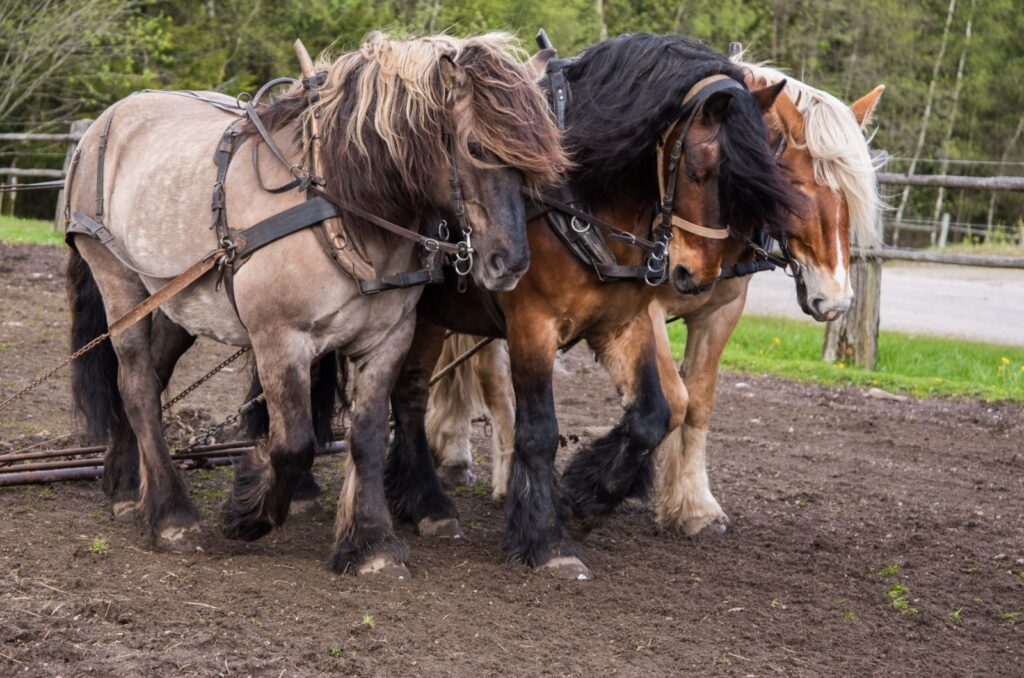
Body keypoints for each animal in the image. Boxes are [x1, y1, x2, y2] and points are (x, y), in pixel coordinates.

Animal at [65, 31, 567, 578]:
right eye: (476, 148)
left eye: (541, 160)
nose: (510, 262)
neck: (343, 206)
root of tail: (106, 121)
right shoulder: (279, 340)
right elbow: (293, 444)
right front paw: (248, 511)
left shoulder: (388, 340)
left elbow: (367, 436)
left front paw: (371, 543)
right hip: (118, 282)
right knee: (135, 384)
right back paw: (172, 516)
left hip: (180, 303)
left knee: (151, 382)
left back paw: (127, 486)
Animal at [426, 57, 884, 538]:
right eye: (790, 187)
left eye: (853, 195)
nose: (834, 299)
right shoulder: (644, 309)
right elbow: (676, 400)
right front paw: (597, 485)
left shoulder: (719, 311)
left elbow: (698, 403)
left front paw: (695, 505)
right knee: (493, 382)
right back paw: (496, 472)